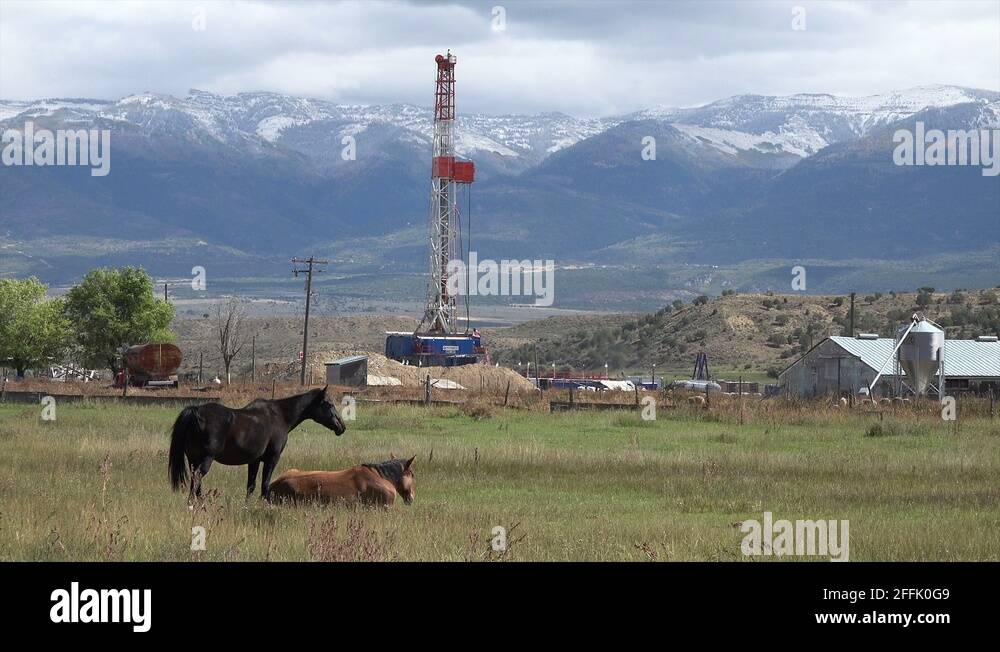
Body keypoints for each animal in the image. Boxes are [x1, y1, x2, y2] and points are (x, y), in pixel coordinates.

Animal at [168, 386, 346, 501]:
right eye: (329, 404)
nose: (342, 426)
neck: (280, 415)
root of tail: (196, 412)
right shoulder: (272, 458)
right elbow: (265, 484)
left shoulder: (253, 461)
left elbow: (251, 485)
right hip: (206, 459)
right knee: (198, 476)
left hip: (193, 459)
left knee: (195, 479)